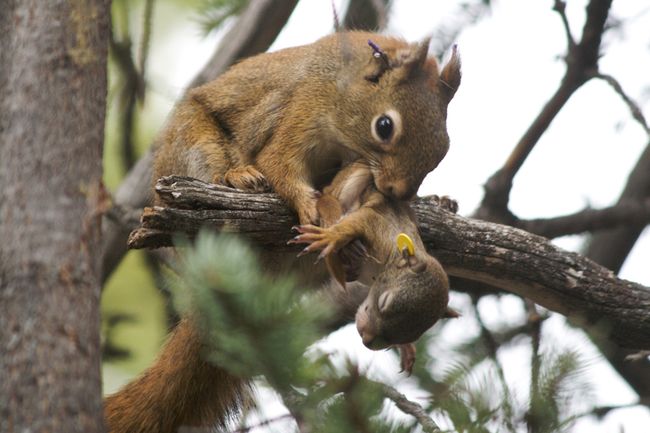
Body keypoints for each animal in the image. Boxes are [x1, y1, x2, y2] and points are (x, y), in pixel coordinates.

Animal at [152, 31, 461, 224]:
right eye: (384, 127)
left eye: (445, 148)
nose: (398, 192)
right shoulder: (303, 111)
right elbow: (278, 162)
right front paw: (308, 205)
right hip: (194, 145)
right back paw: (238, 176)